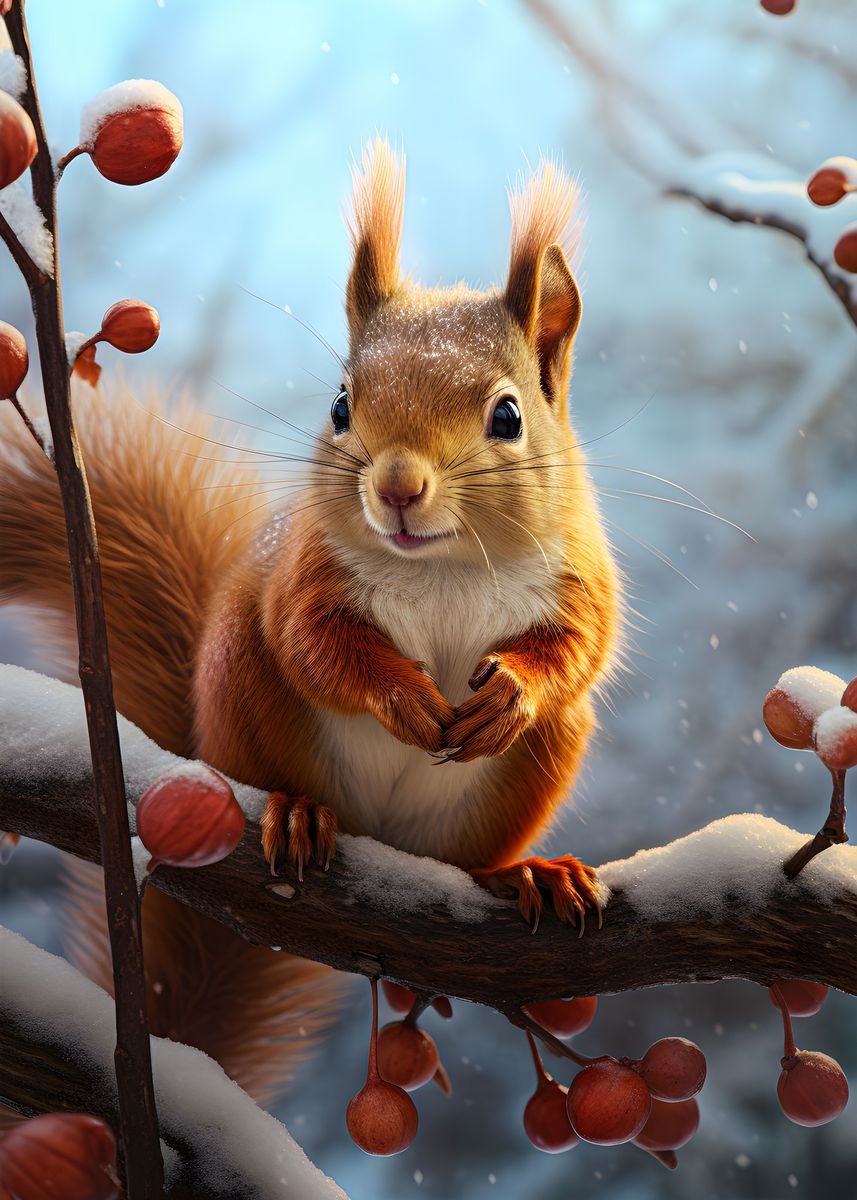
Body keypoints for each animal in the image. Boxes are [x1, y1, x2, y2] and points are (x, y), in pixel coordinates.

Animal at [0, 140, 619, 1105]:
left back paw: (530, 872)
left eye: (509, 415)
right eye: (339, 405)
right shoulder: (303, 579)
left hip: (532, 772)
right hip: (244, 687)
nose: (396, 486)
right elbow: (318, 646)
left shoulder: (579, 573)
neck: (440, 569)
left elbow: (579, 649)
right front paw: (405, 699)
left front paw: (508, 694)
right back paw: (296, 814)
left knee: (474, 858)